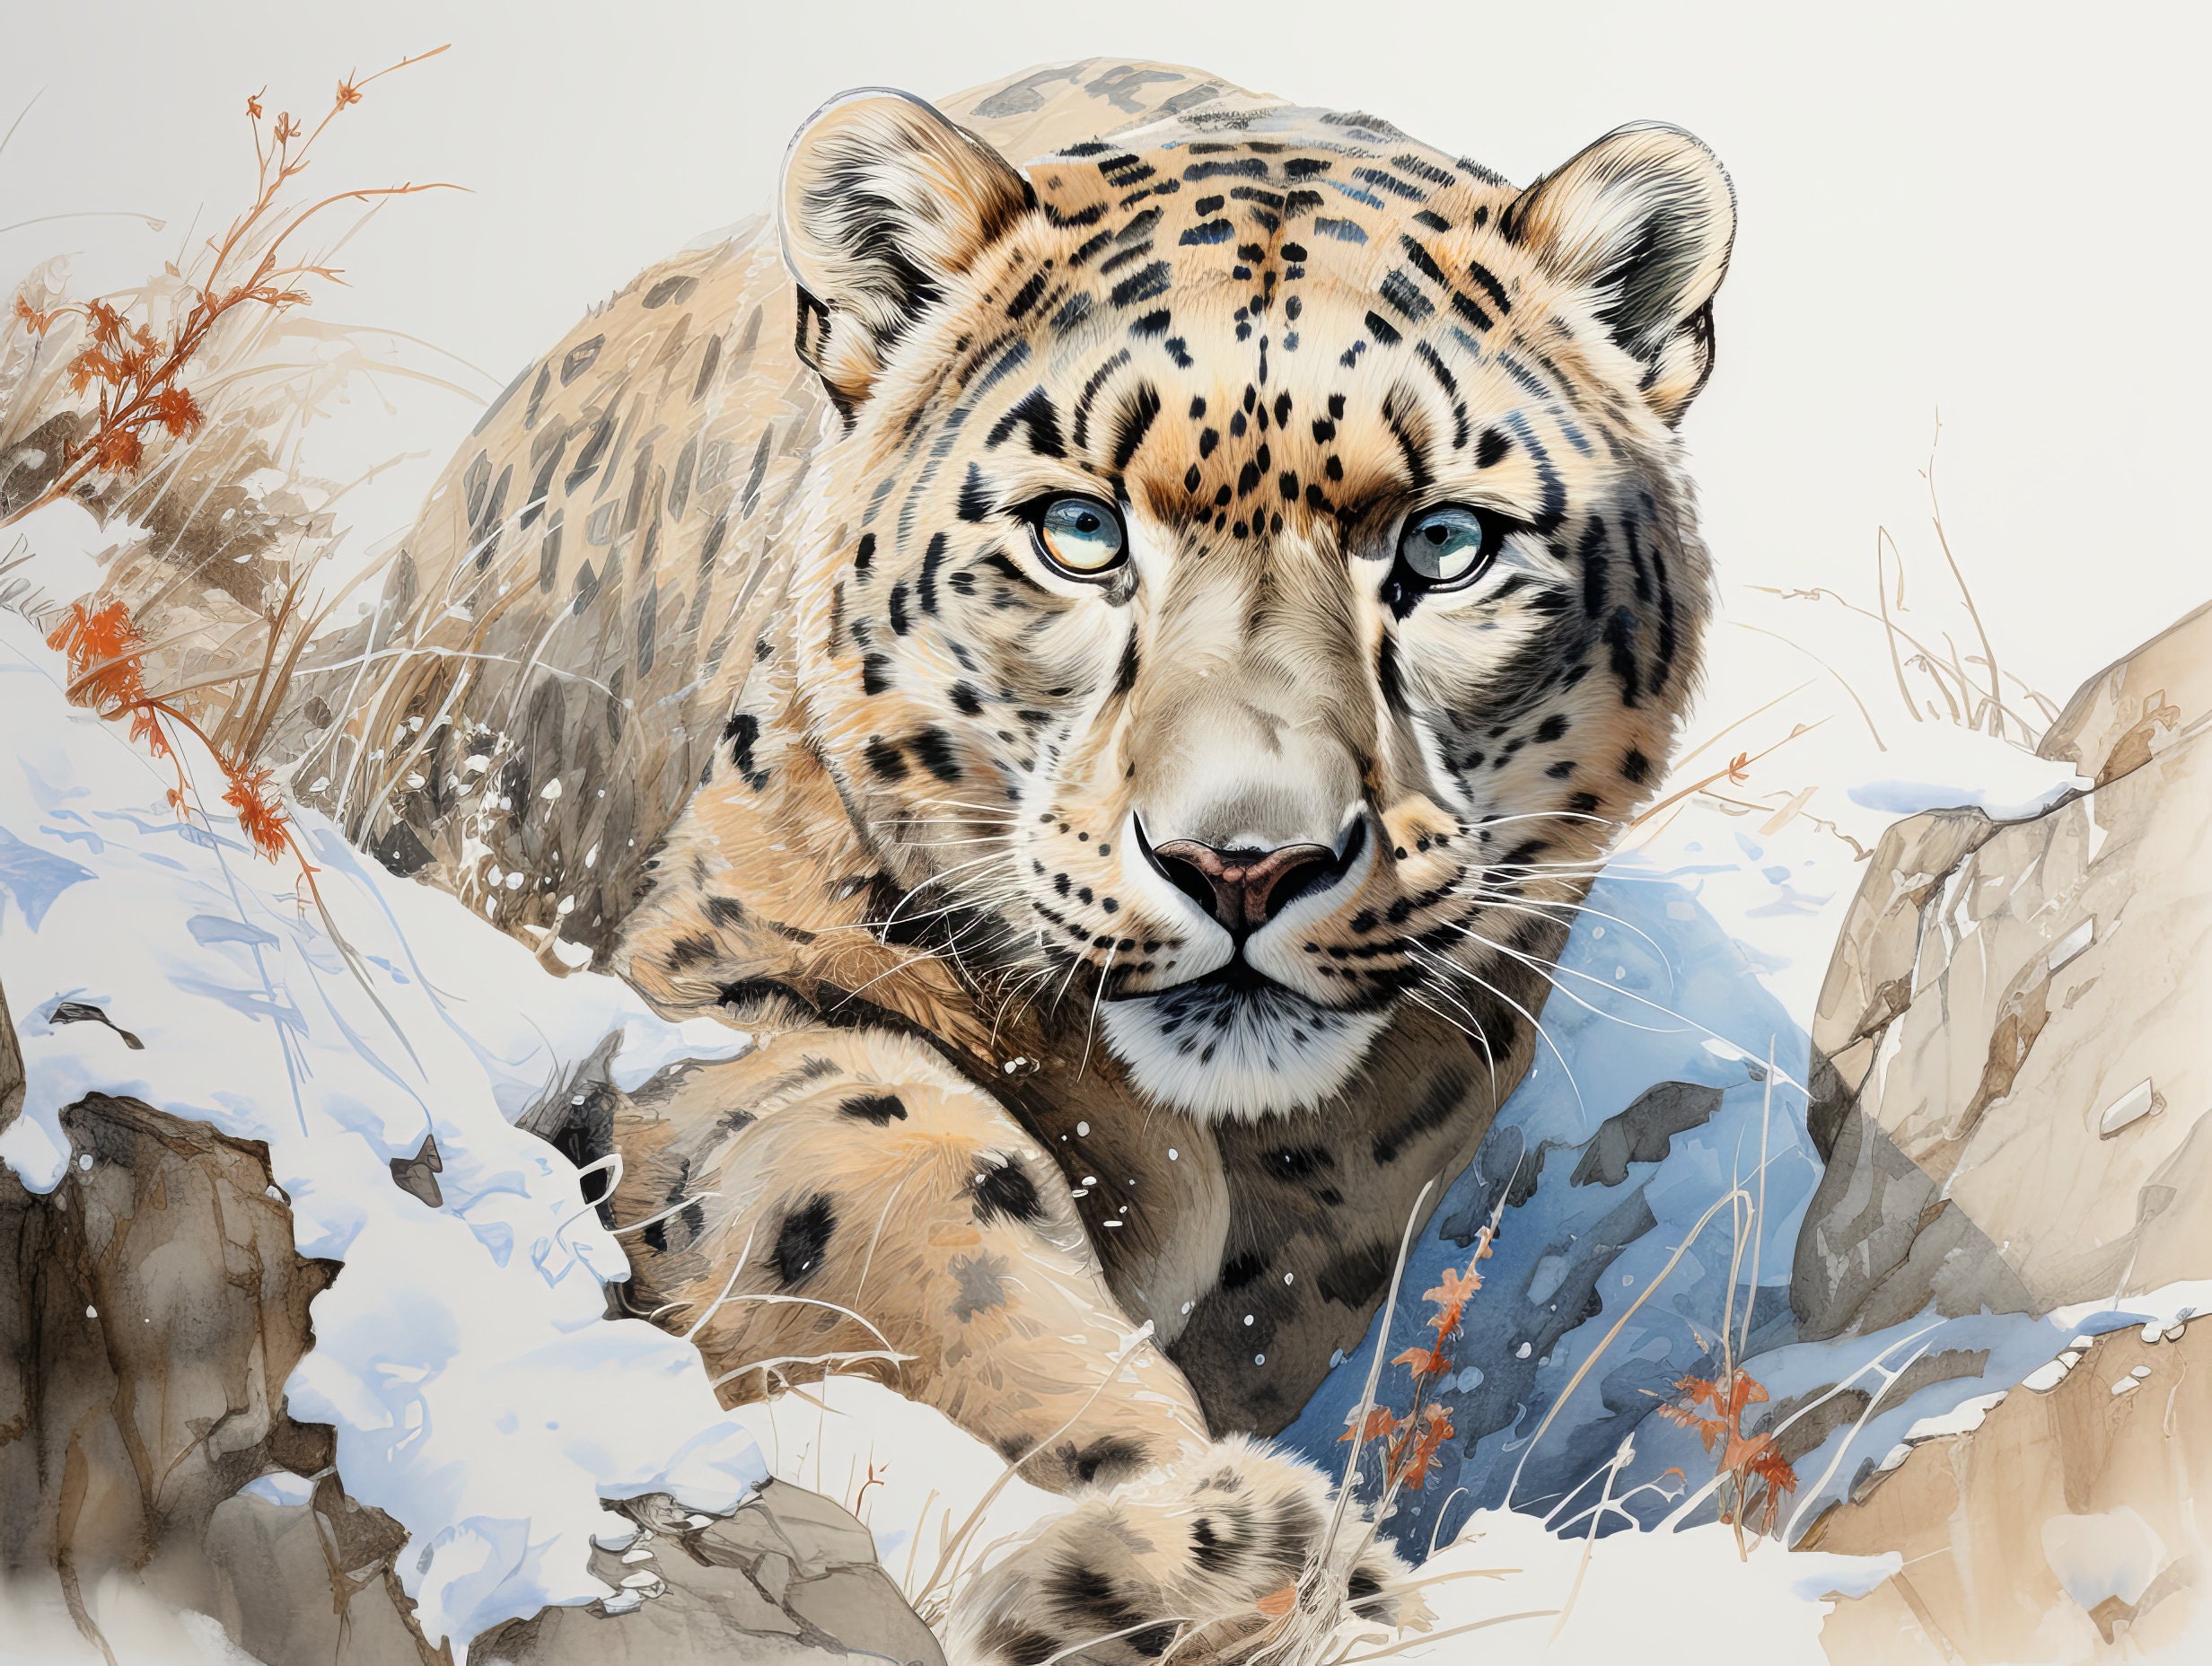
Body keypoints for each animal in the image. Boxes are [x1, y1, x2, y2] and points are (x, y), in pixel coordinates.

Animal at [296, 58, 1732, 1666]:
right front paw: (1192, 1548)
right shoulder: (752, 982)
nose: (1245, 862)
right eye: (1078, 530)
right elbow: (896, 1209)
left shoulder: (1349, 1213)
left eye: (1444, 545)